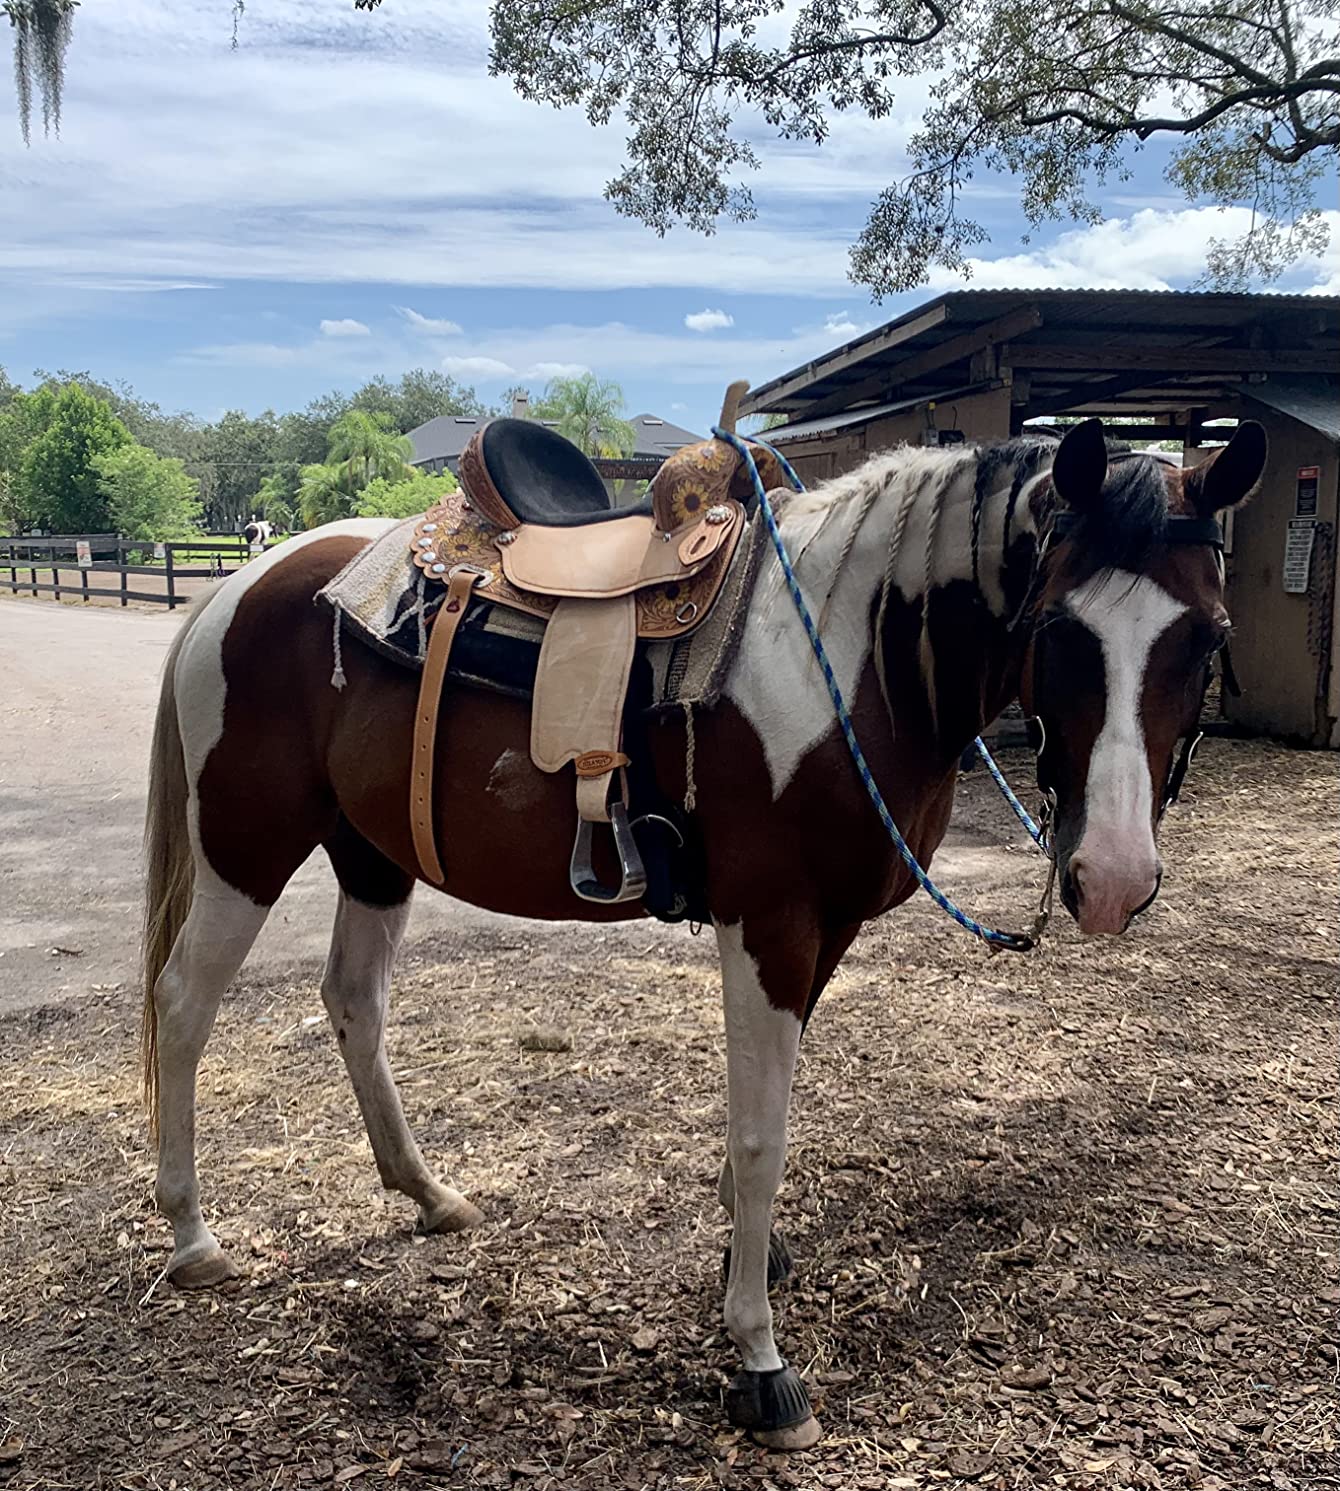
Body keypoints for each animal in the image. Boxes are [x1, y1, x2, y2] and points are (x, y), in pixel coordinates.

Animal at [140, 415, 1266, 1449]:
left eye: (1208, 637)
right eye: (1057, 630)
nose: (1112, 879)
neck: (852, 657)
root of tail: (243, 584)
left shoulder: (825, 928)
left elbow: (759, 1122)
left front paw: (750, 1259)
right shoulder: (767, 922)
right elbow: (763, 1136)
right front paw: (760, 1359)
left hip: (372, 854)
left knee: (353, 1005)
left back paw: (428, 1193)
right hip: (247, 847)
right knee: (183, 1008)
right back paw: (193, 1235)